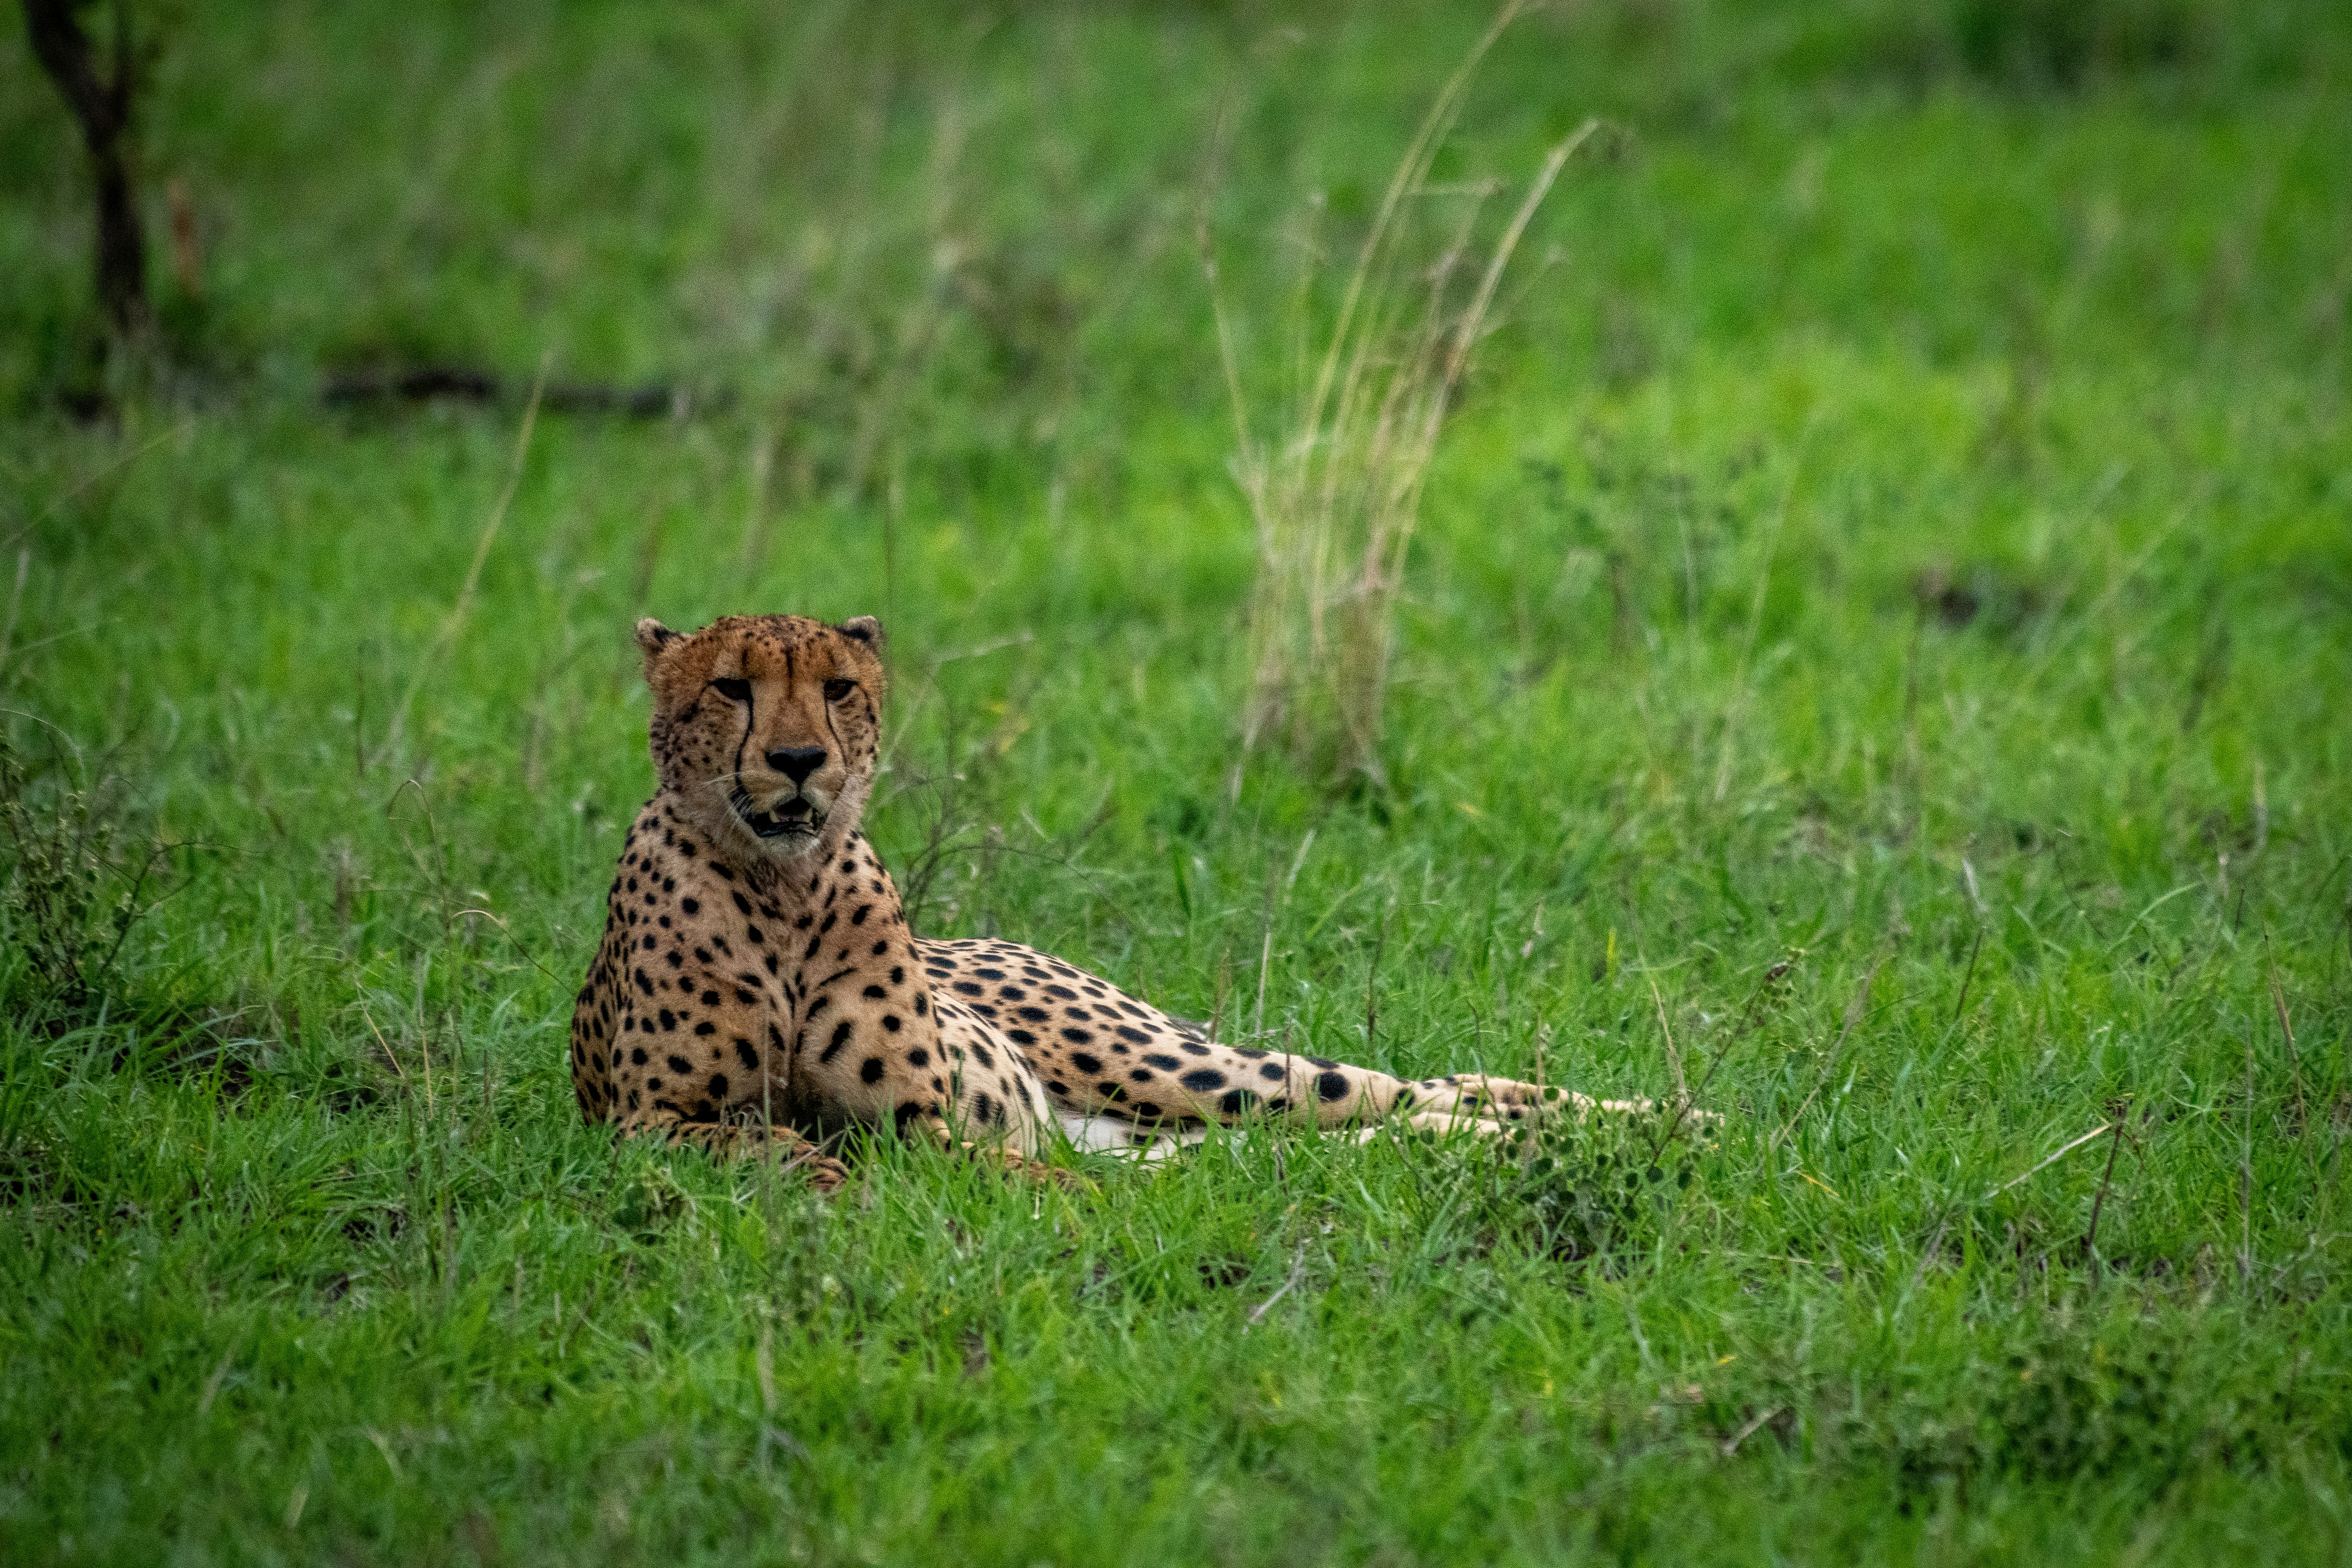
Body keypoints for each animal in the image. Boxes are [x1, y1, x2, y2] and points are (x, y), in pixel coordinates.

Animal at [569, 612, 1658, 1191]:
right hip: (1170, 1134)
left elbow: (971, 1160)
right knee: (1352, 1135)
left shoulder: (923, 1122)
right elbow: (765, 1138)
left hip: (1175, 1068)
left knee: (1415, 1085)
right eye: (730, 688)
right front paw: (819, 1176)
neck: (781, 885)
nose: (798, 760)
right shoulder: (643, 1123)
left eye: (837, 687)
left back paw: (1650, 1117)